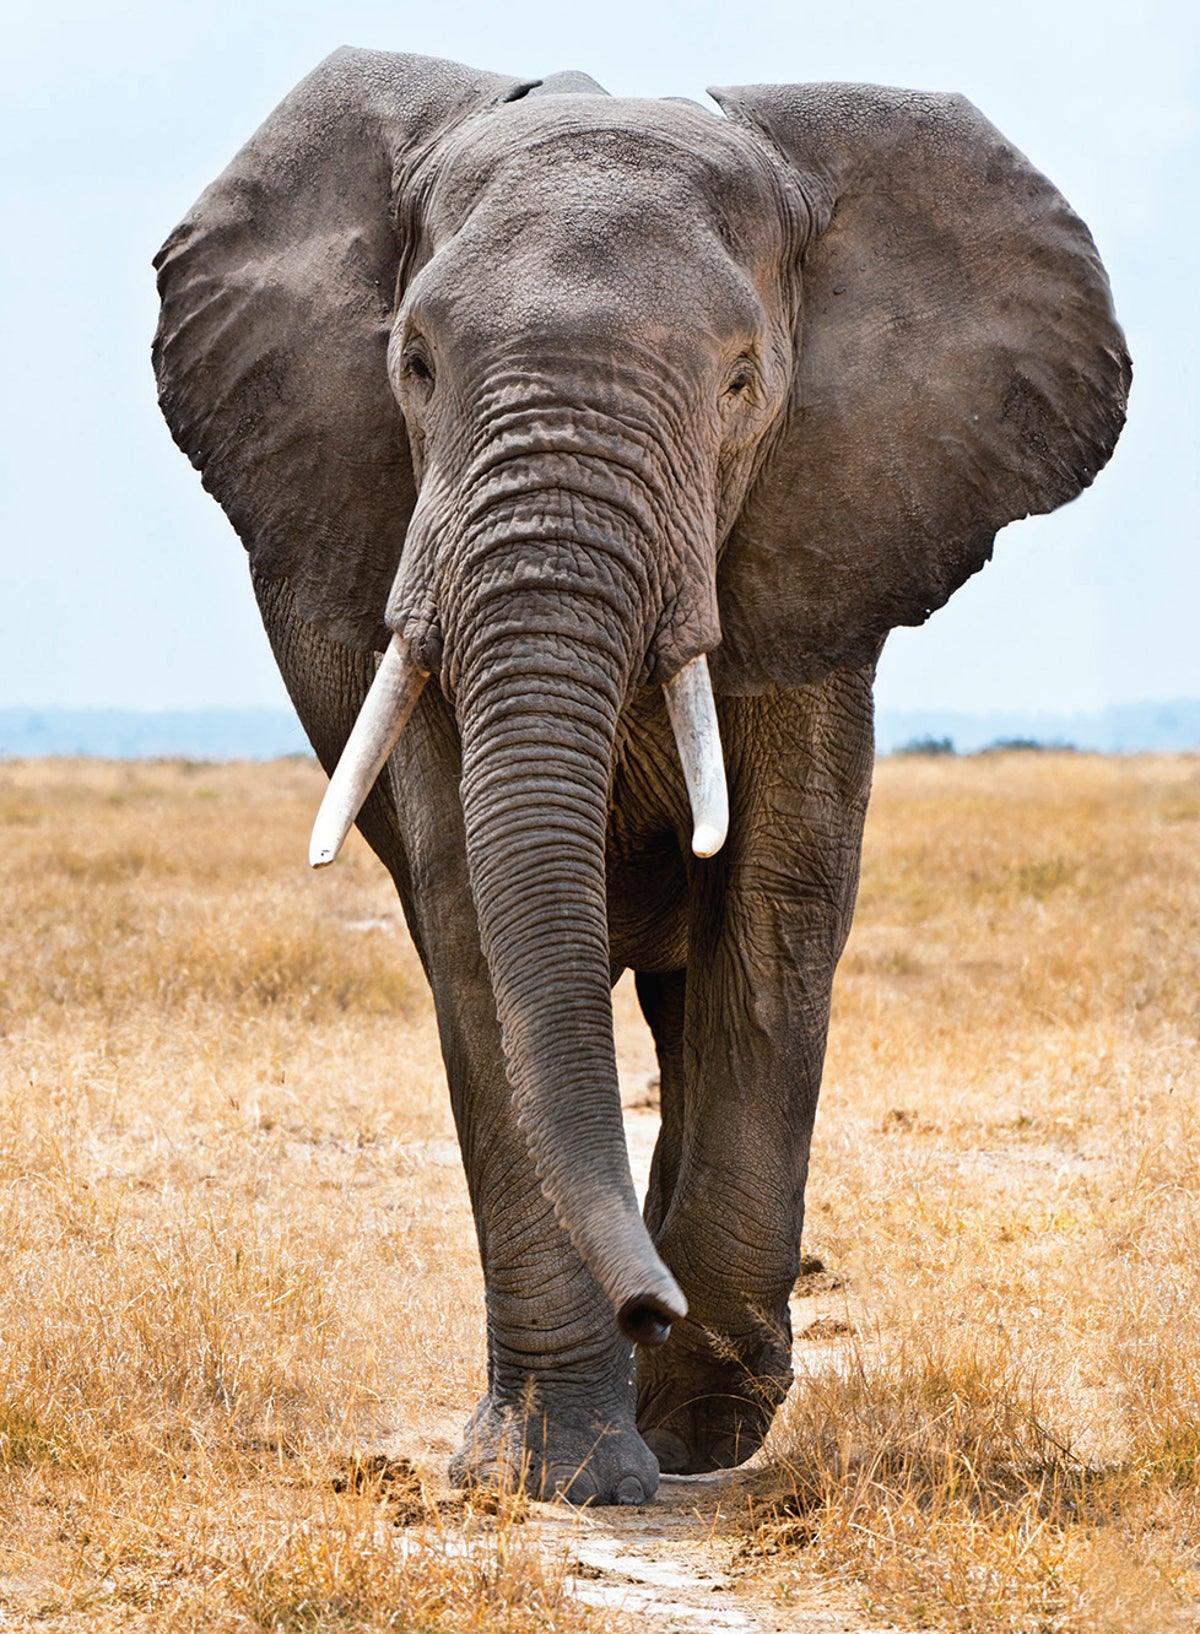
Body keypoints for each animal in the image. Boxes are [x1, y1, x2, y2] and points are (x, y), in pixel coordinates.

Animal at [153, 49, 1128, 1506]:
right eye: (416, 364)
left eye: (741, 384)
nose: (645, 1306)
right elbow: (475, 920)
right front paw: (556, 1469)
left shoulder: (814, 548)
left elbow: (778, 903)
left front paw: (697, 1419)